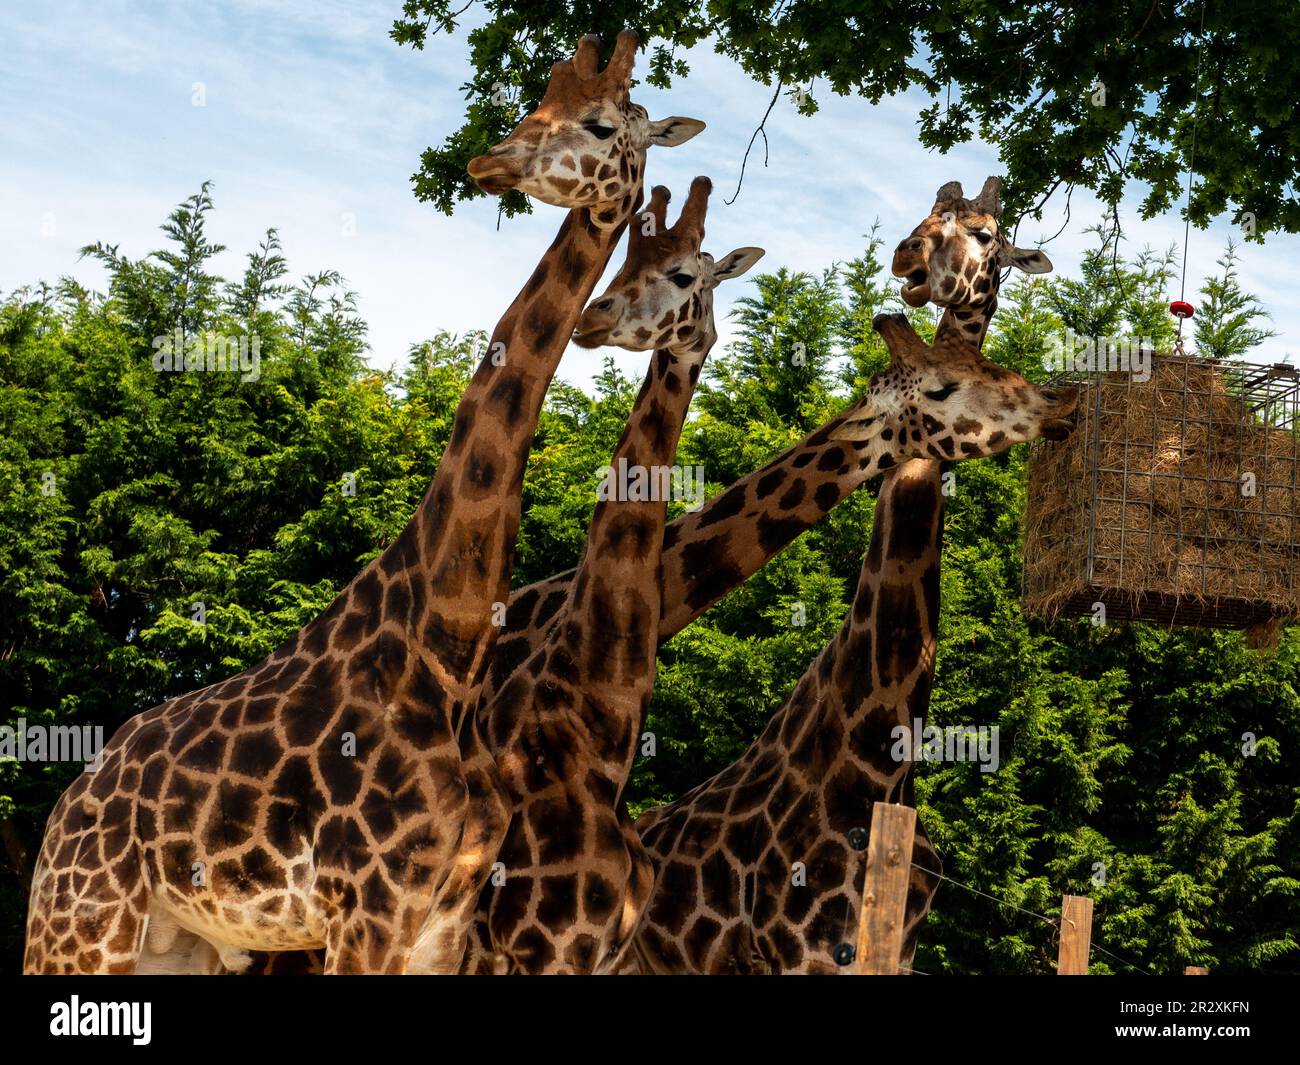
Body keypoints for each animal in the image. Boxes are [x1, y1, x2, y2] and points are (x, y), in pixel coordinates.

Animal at [22, 30, 702, 976]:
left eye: (602, 123)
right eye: (536, 98)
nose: (489, 159)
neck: (446, 653)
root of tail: (57, 816)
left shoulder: (438, 921)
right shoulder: (367, 907)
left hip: (179, 941)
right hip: (82, 928)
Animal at [622, 310, 1076, 973]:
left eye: (988, 360)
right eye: (940, 387)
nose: (1063, 402)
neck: (876, 762)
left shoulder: (893, 946)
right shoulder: (797, 952)